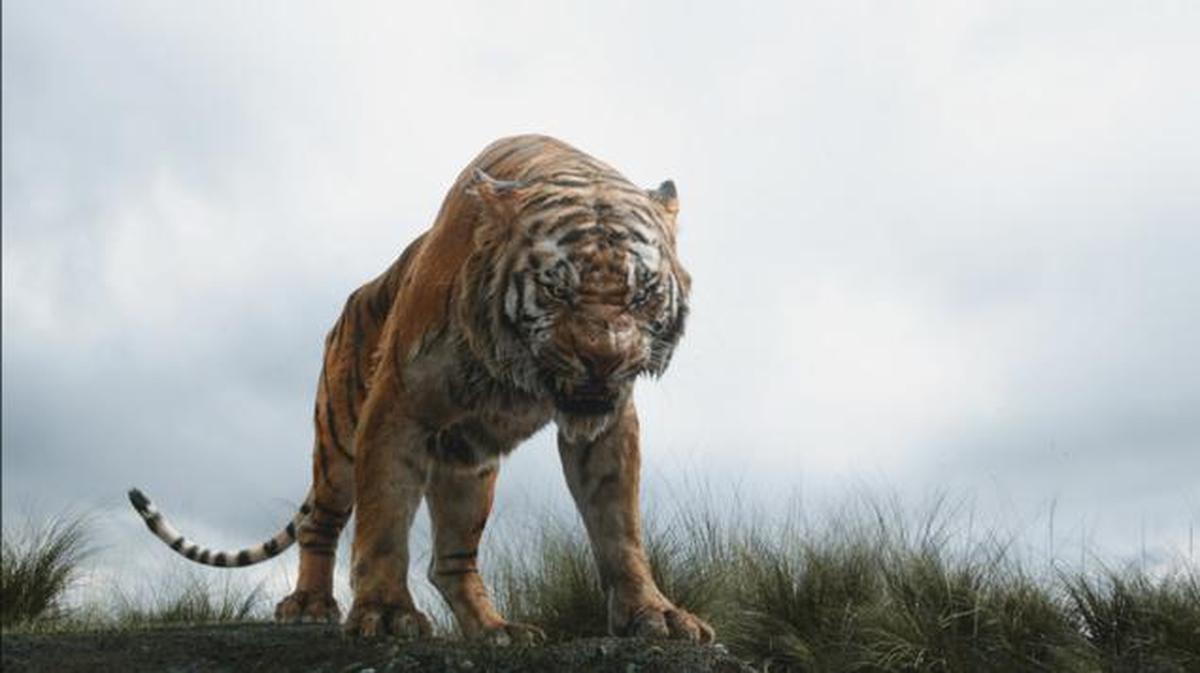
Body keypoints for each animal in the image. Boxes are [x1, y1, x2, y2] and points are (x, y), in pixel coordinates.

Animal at [129, 134, 712, 643]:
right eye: (555, 289)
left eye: (642, 294)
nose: (603, 357)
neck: (517, 374)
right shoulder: (398, 405)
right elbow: (385, 517)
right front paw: (387, 614)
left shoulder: (607, 426)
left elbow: (619, 527)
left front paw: (655, 615)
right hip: (338, 442)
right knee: (321, 523)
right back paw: (311, 606)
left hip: (468, 459)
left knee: (450, 560)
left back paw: (496, 629)